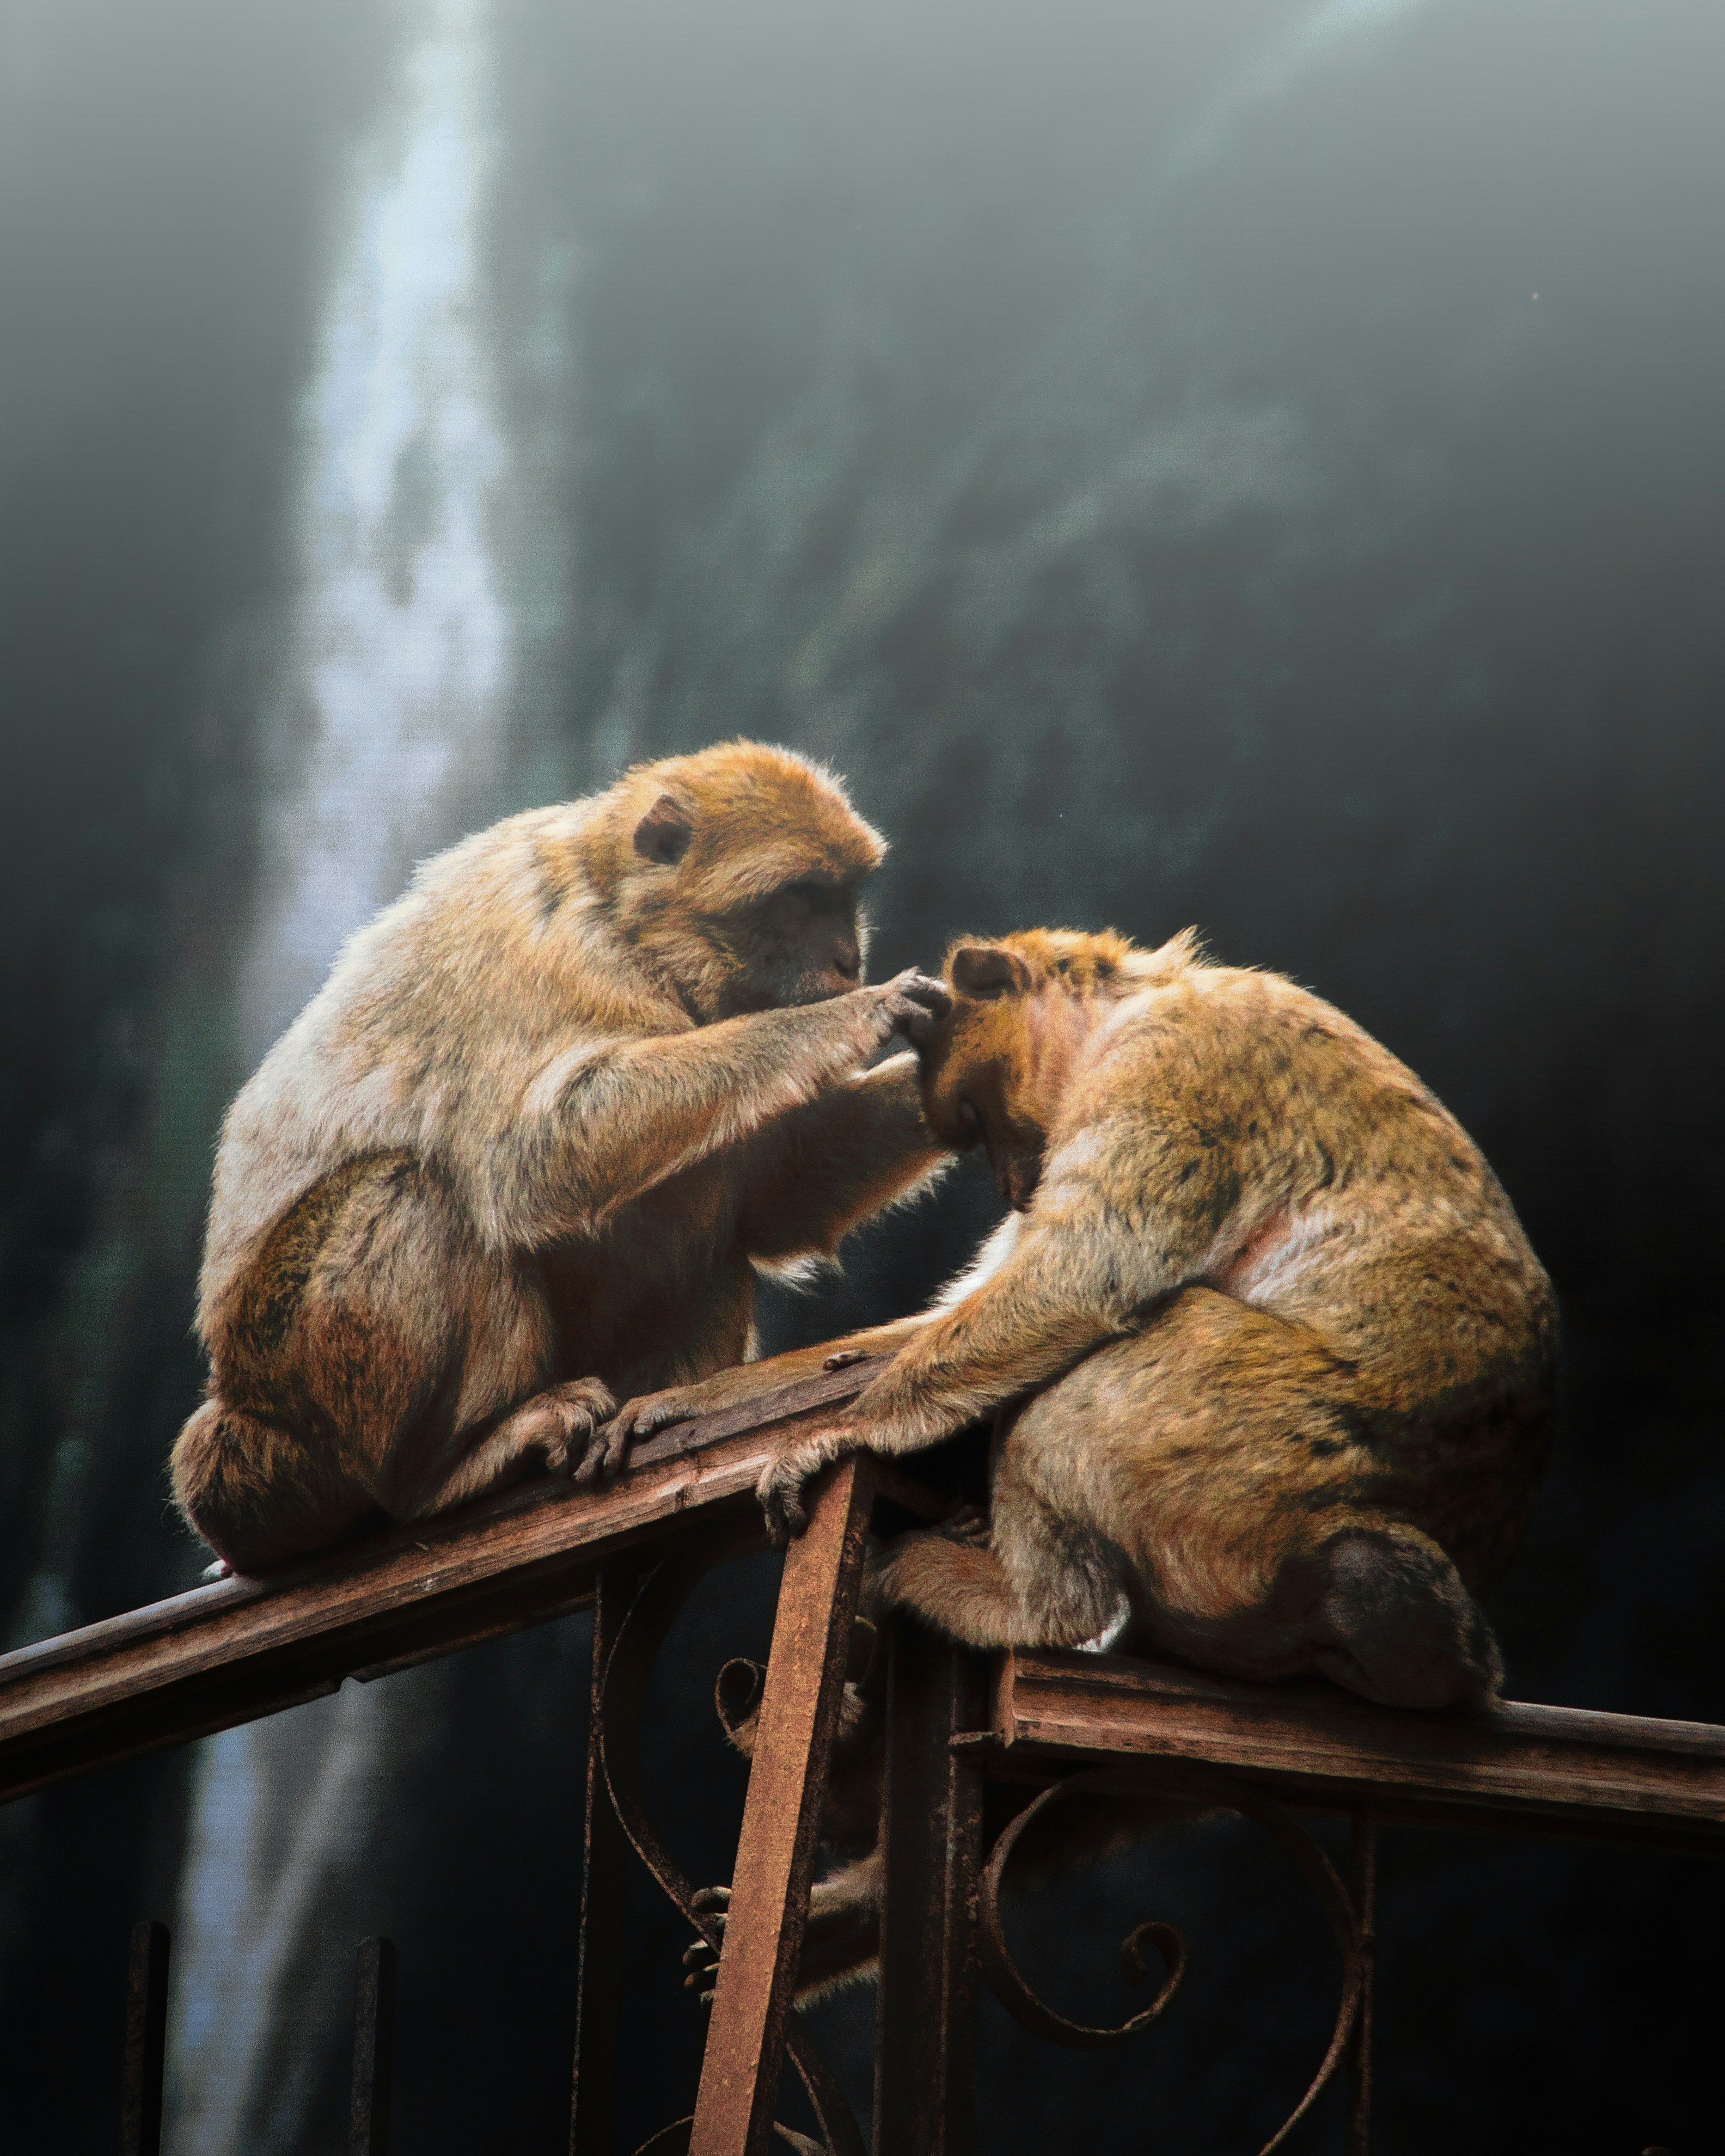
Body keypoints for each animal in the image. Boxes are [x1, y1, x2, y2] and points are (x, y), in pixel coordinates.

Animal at [170, 742, 955, 1574]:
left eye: (843, 897)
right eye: (802, 900)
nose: (848, 961)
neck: (625, 922)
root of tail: (234, 1414)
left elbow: (777, 1200)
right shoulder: (540, 948)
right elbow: (532, 1162)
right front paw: (854, 1015)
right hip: (290, 1391)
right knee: (416, 1188)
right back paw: (449, 1470)